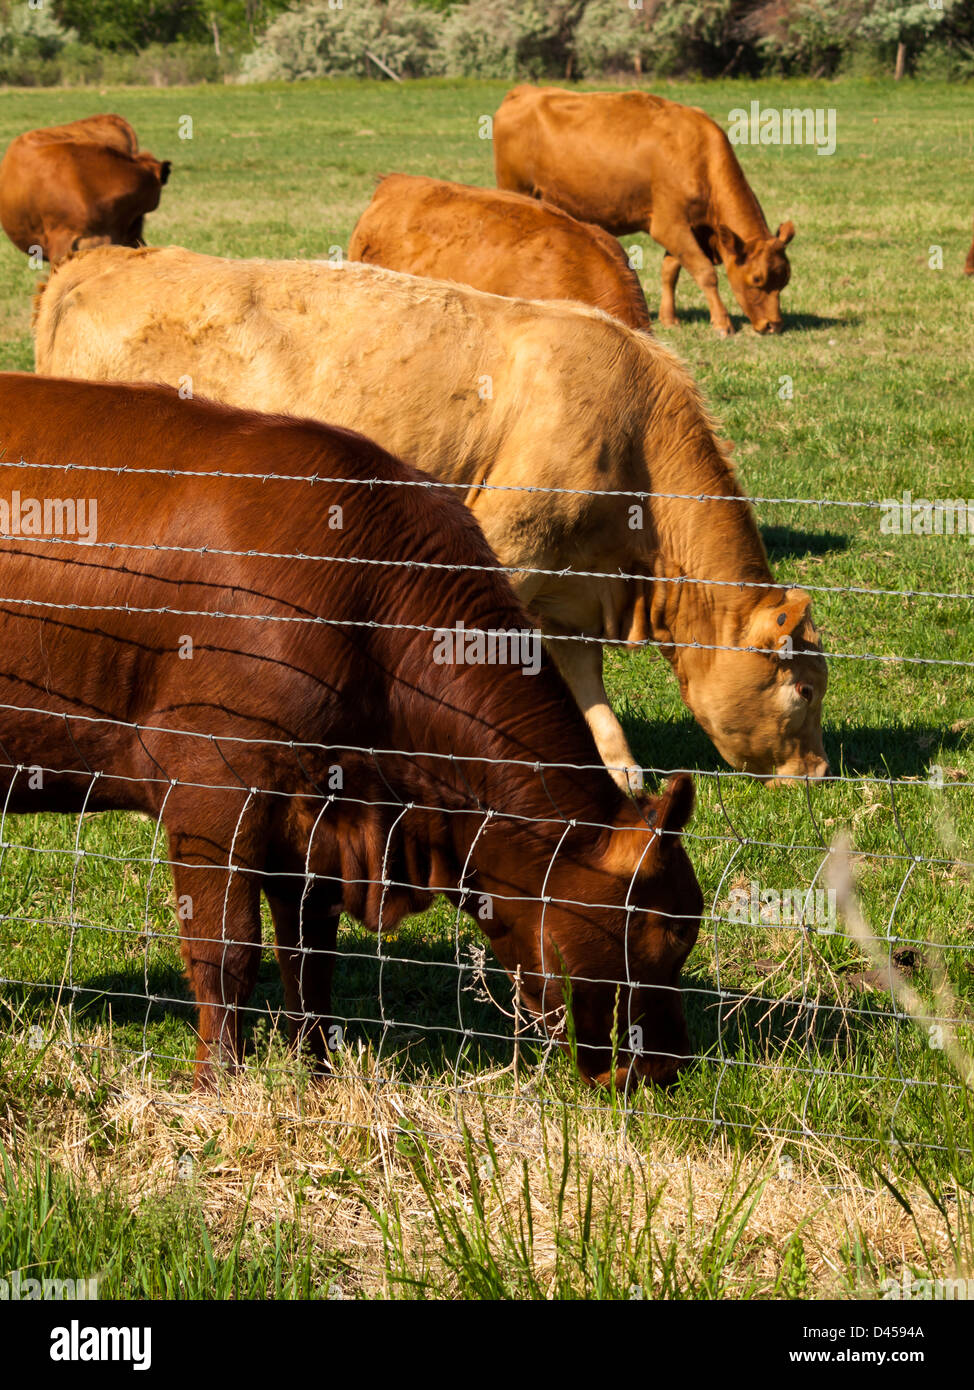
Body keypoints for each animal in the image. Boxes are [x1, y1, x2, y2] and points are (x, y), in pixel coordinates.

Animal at [0, 373, 703, 1089]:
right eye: (673, 932)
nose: (673, 1066)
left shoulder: (310, 814)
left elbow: (309, 957)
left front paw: (314, 1072)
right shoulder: (212, 785)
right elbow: (226, 951)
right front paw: (216, 1085)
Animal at [33, 246, 829, 795]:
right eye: (804, 689)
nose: (820, 771)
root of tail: (103, 261)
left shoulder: (568, 582)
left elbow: (582, 673)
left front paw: (620, 768)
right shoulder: (505, 549)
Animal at [494, 86, 794, 338]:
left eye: (785, 280)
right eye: (757, 279)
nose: (773, 325)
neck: (700, 155)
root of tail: (524, 91)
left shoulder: (685, 229)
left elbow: (670, 271)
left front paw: (669, 318)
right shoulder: (669, 225)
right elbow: (705, 272)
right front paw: (722, 323)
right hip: (515, 186)